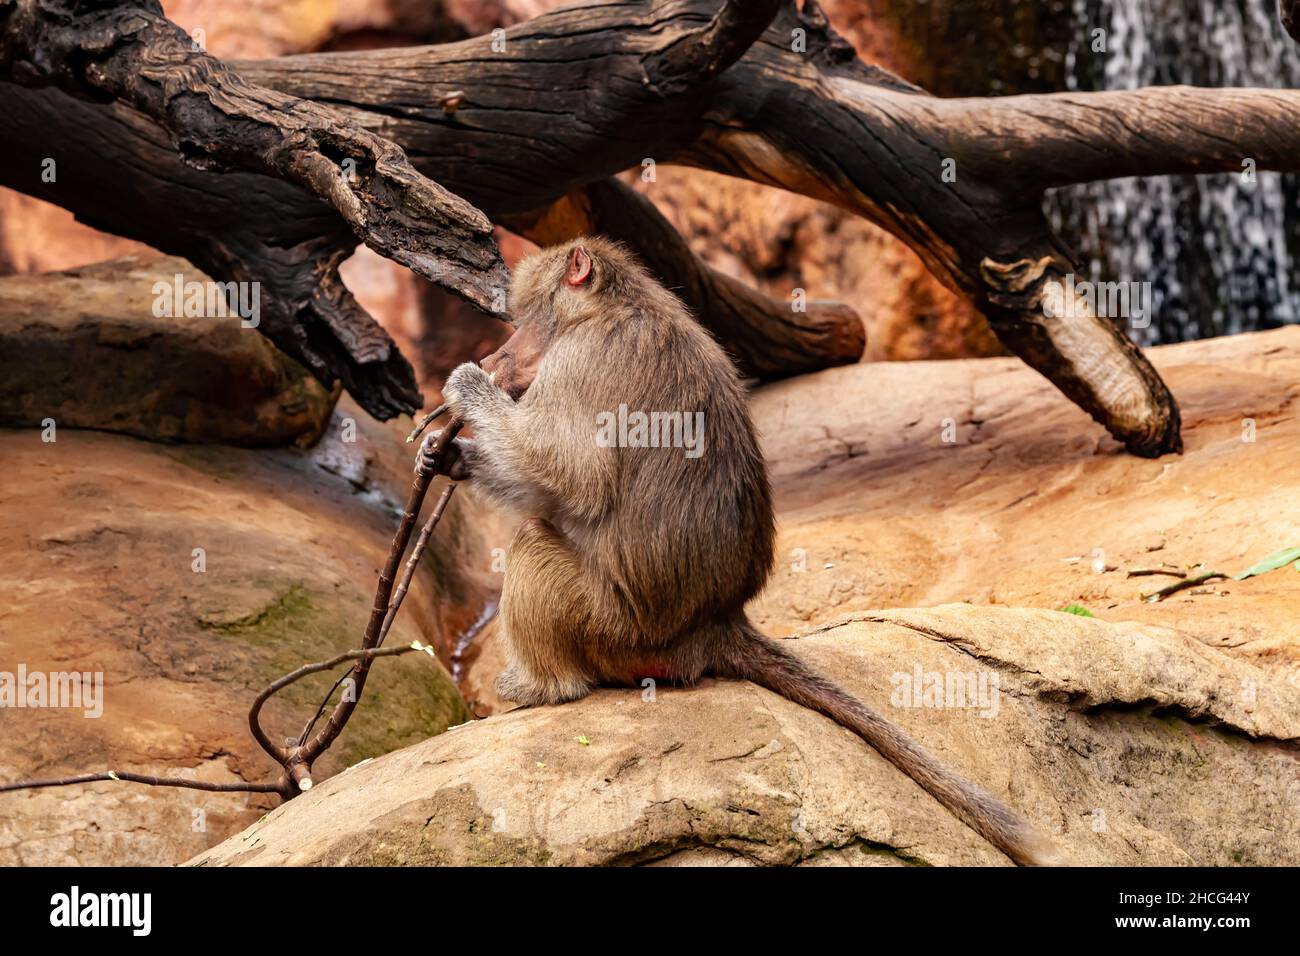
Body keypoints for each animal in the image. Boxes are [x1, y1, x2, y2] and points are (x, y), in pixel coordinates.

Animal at [434, 236, 1063, 866]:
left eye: (523, 319)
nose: (499, 355)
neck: (613, 306)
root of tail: (715, 622)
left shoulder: (584, 360)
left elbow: (561, 473)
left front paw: (468, 391)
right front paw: (451, 457)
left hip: (615, 629)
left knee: (535, 543)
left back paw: (542, 687)